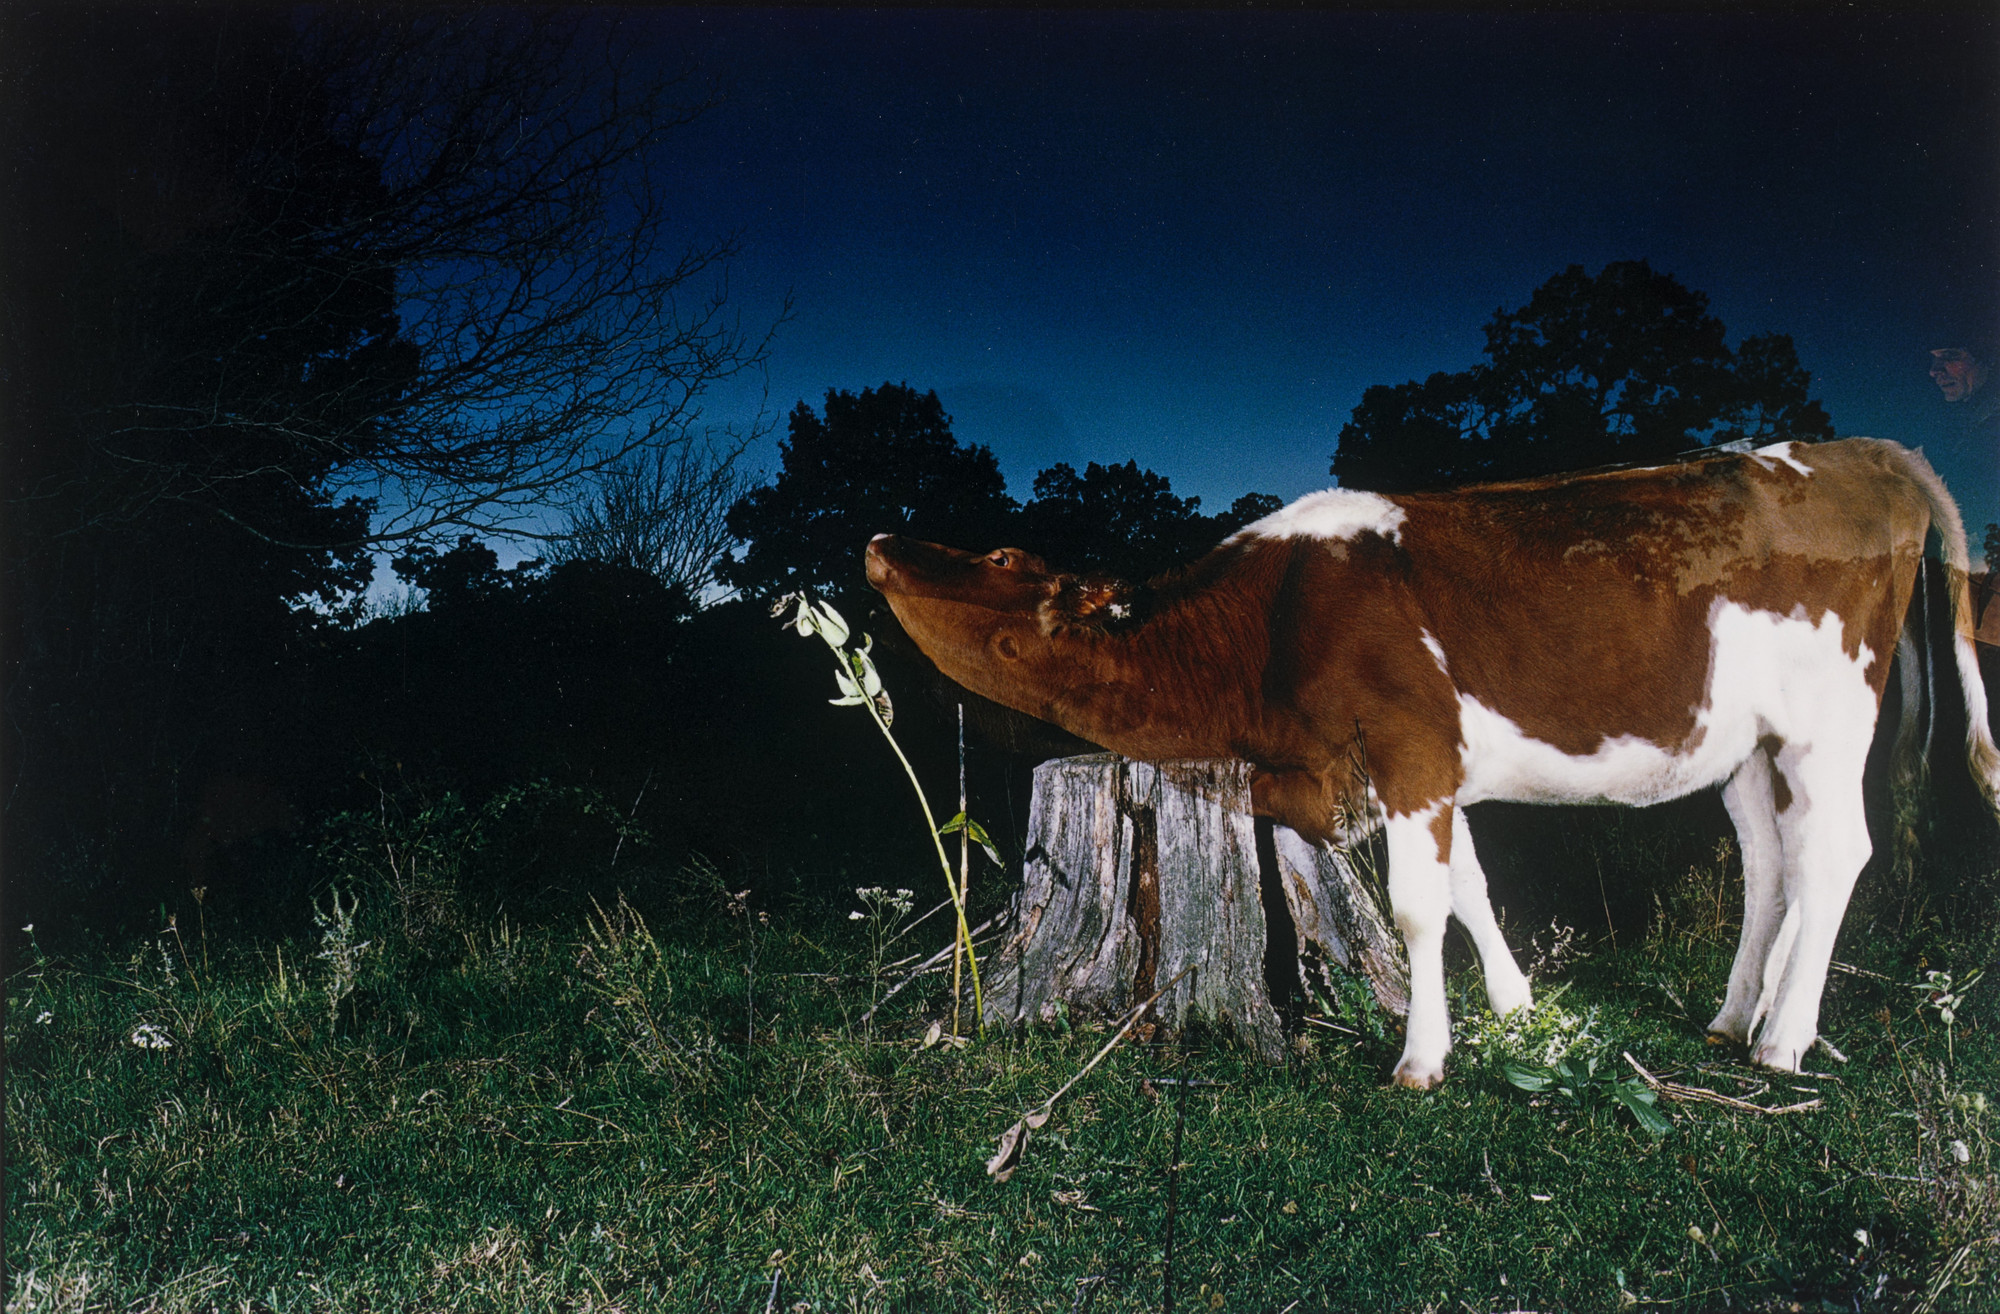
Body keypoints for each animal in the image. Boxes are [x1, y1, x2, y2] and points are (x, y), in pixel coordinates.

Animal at [864, 438, 2000, 1088]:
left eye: (1001, 558)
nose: (878, 540)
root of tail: (1863, 450)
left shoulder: (1410, 750)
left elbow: (1420, 905)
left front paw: (1421, 1056)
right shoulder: (1413, 774)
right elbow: (1469, 887)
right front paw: (1513, 1004)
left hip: (1828, 717)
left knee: (1835, 853)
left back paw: (1783, 1037)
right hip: (1746, 742)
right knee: (1772, 860)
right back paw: (1733, 1018)